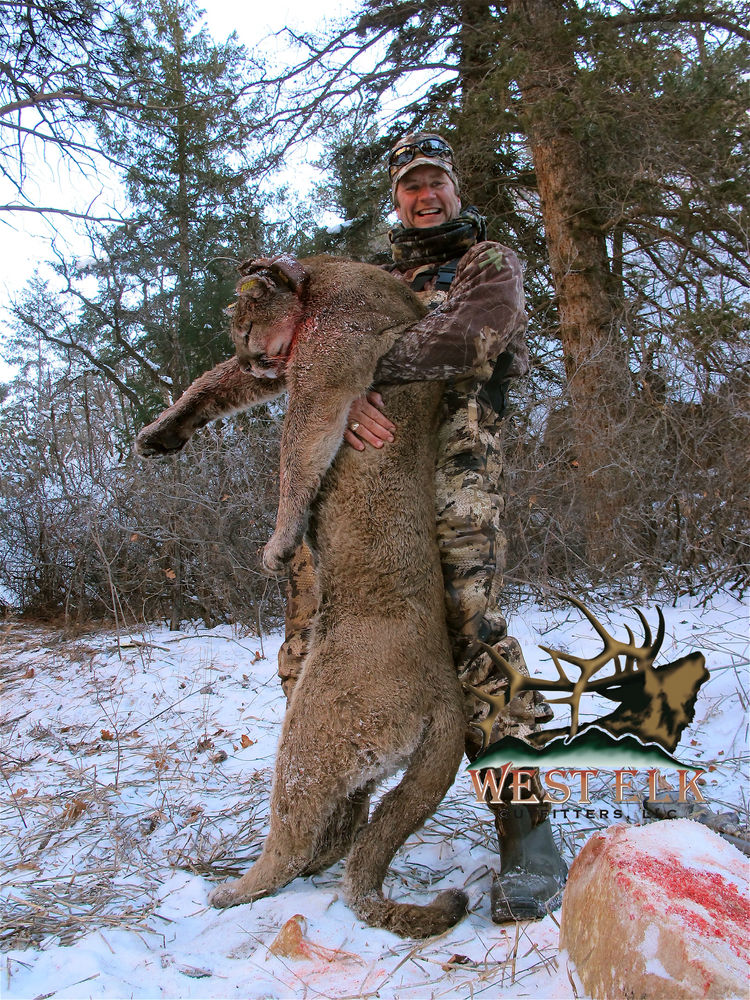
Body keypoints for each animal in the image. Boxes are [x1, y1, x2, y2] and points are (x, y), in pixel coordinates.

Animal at [136, 254, 468, 938]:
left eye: (243, 328)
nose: (256, 359)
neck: (315, 282)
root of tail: (448, 692)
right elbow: (213, 385)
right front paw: (161, 432)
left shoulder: (328, 357)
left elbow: (299, 444)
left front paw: (280, 539)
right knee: (344, 830)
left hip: (315, 729)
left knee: (292, 834)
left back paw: (231, 888)